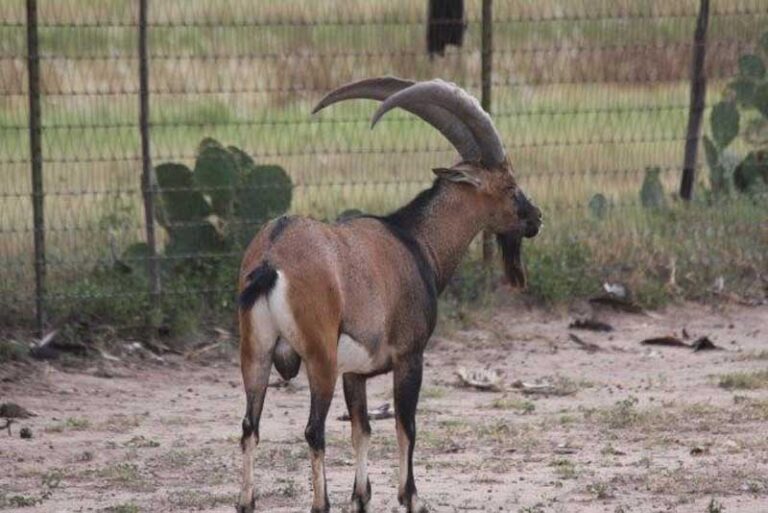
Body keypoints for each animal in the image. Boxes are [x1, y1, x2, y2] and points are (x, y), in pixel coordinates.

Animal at [236, 77, 542, 513]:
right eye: (510, 185)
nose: (535, 218)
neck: (416, 242)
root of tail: (270, 260)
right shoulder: (409, 356)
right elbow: (405, 425)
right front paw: (411, 496)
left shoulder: (355, 373)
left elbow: (361, 429)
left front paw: (361, 496)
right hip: (319, 360)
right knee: (313, 430)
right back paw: (321, 503)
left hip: (255, 353)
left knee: (250, 425)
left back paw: (247, 501)